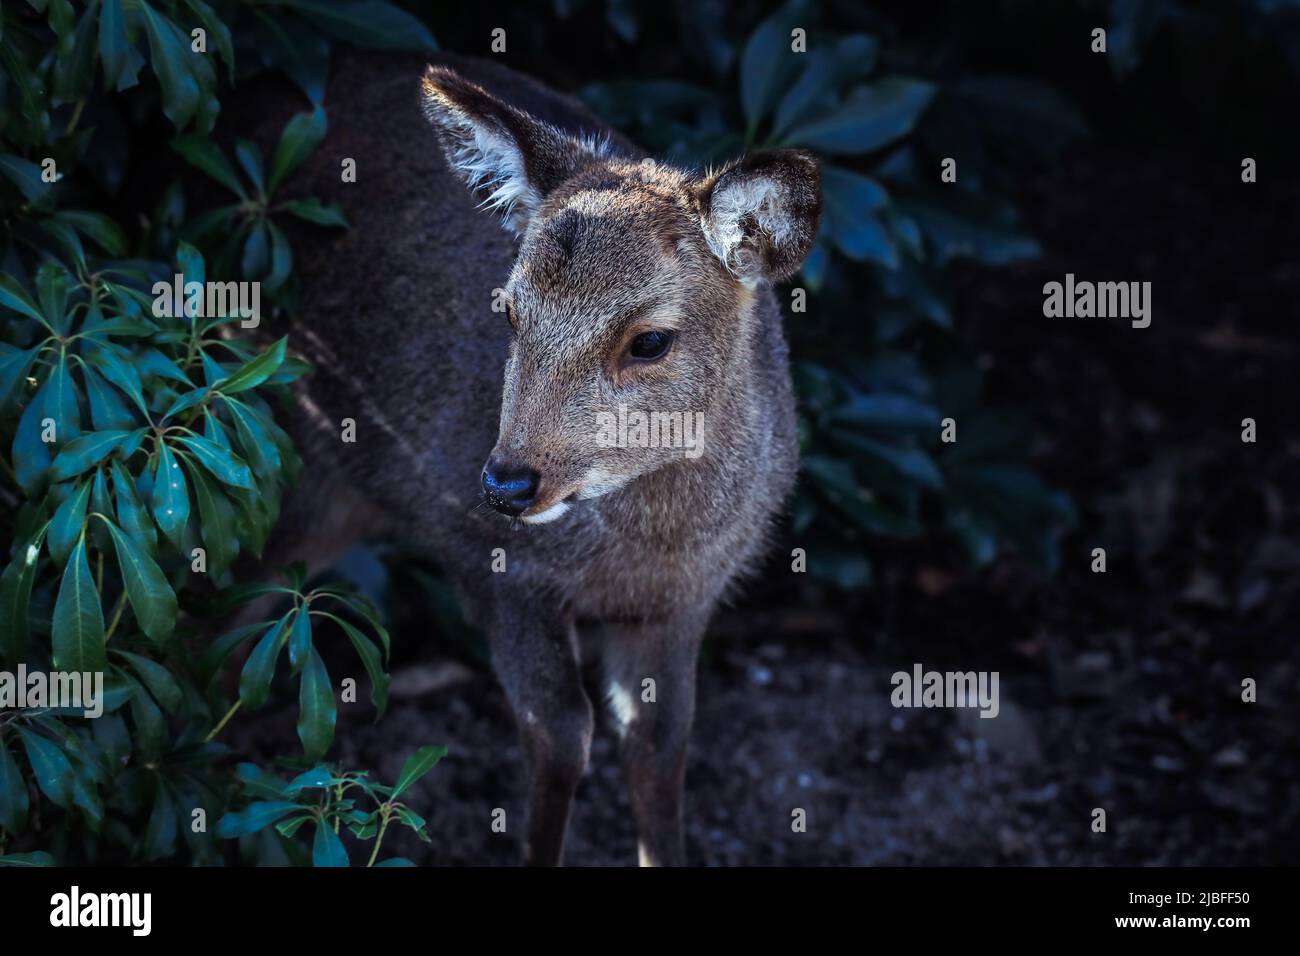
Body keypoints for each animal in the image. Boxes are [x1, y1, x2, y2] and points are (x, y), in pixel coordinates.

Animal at [257, 51, 822, 866]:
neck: (644, 552)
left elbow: (659, 746)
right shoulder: (489, 560)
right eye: (511, 312)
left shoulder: (686, 600)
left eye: (650, 339)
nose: (506, 483)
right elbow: (558, 734)